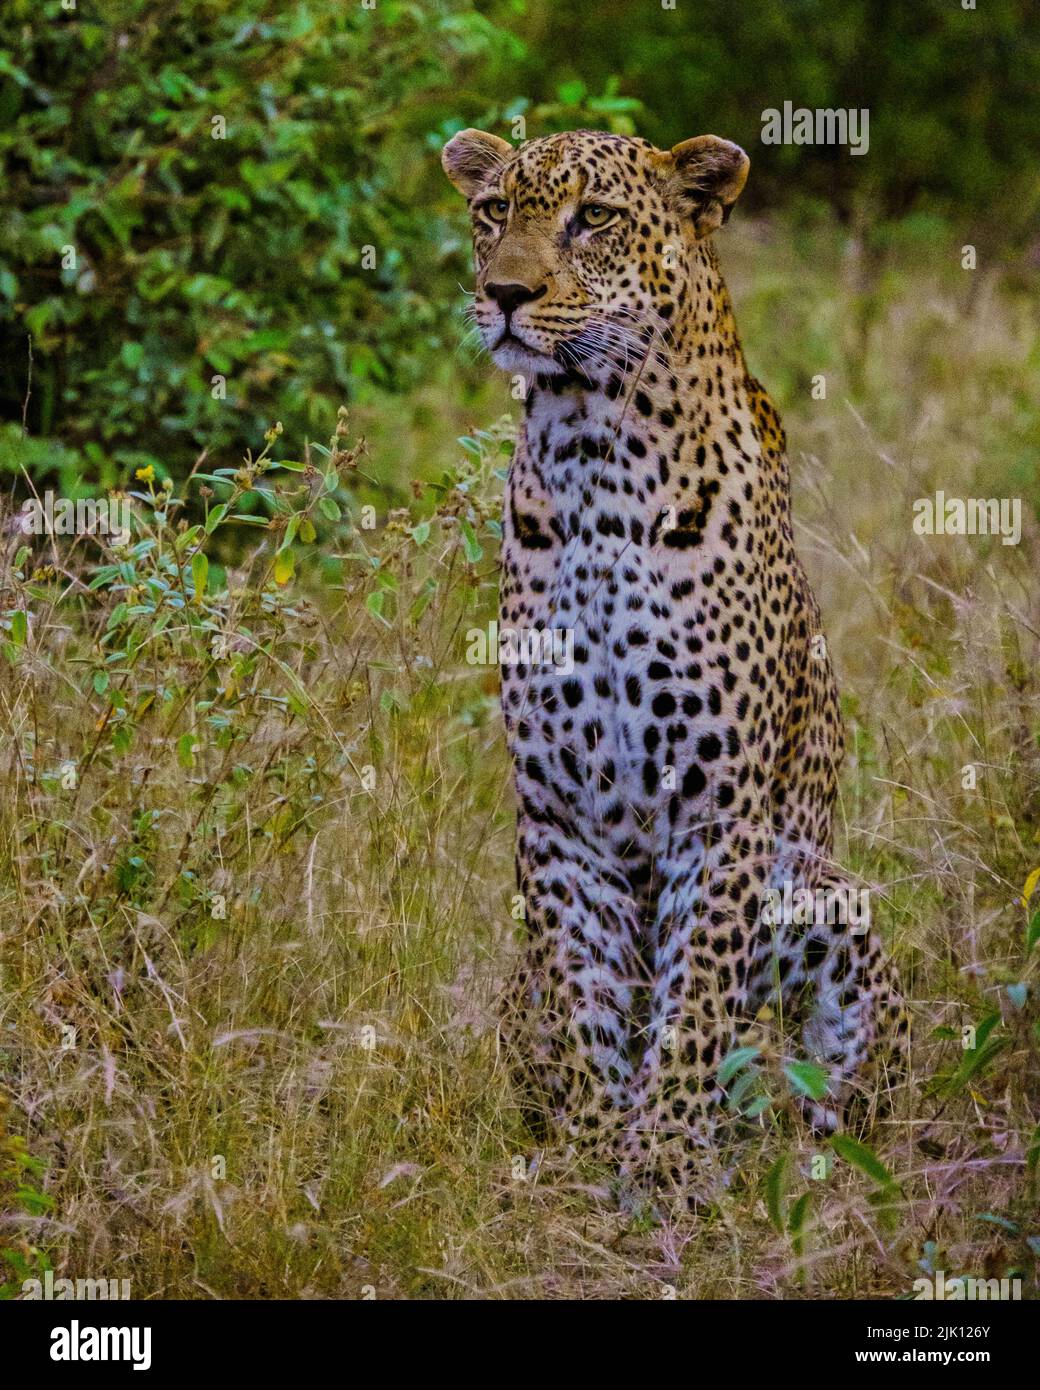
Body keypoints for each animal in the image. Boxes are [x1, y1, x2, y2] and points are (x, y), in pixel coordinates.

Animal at [441, 126, 909, 1194]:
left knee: (831, 1096)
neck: (591, 458)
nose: (505, 293)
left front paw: (662, 1160)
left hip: (831, 906)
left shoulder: (718, 805)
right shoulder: (558, 807)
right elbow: (585, 997)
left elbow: (693, 994)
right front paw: (589, 1153)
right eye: (494, 211)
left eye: (593, 218)